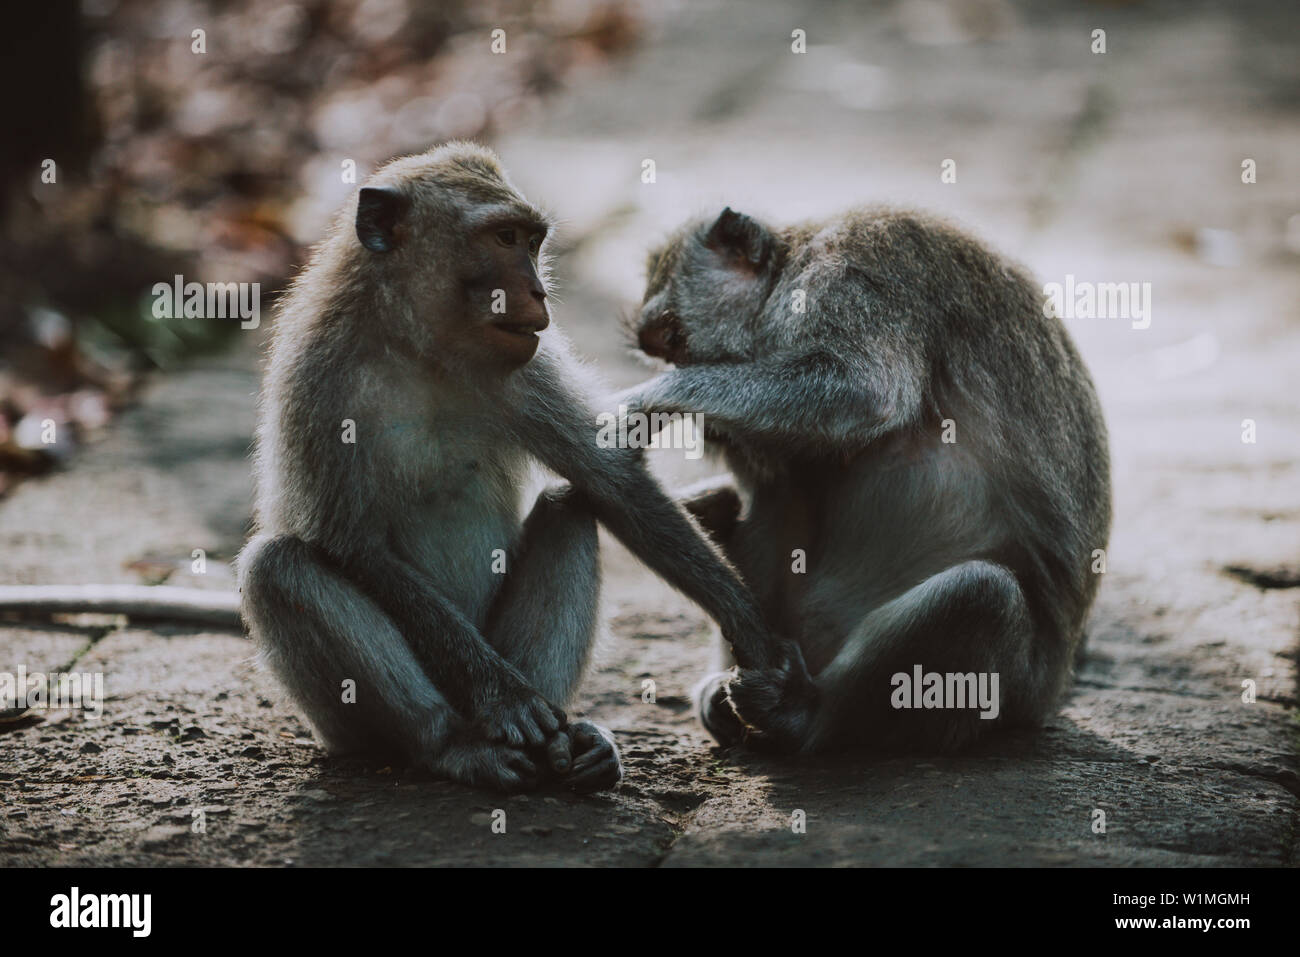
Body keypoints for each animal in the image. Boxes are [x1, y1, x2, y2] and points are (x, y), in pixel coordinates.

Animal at [235, 145, 781, 793]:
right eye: (503, 238)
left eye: (533, 241)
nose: (539, 293)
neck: (416, 346)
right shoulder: (318, 375)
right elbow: (354, 547)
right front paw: (503, 697)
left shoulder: (528, 362)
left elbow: (611, 483)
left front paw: (751, 628)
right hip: (344, 729)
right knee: (279, 567)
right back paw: (454, 744)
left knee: (570, 507)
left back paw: (570, 745)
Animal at [620, 205, 1112, 755]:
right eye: (662, 349)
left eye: (675, 341)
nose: (705, 429)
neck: (792, 265)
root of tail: (1053, 691)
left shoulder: (851, 274)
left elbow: (862, 391)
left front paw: (646, 400)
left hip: (1011, 693)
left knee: (979, 595)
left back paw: (806, 718)